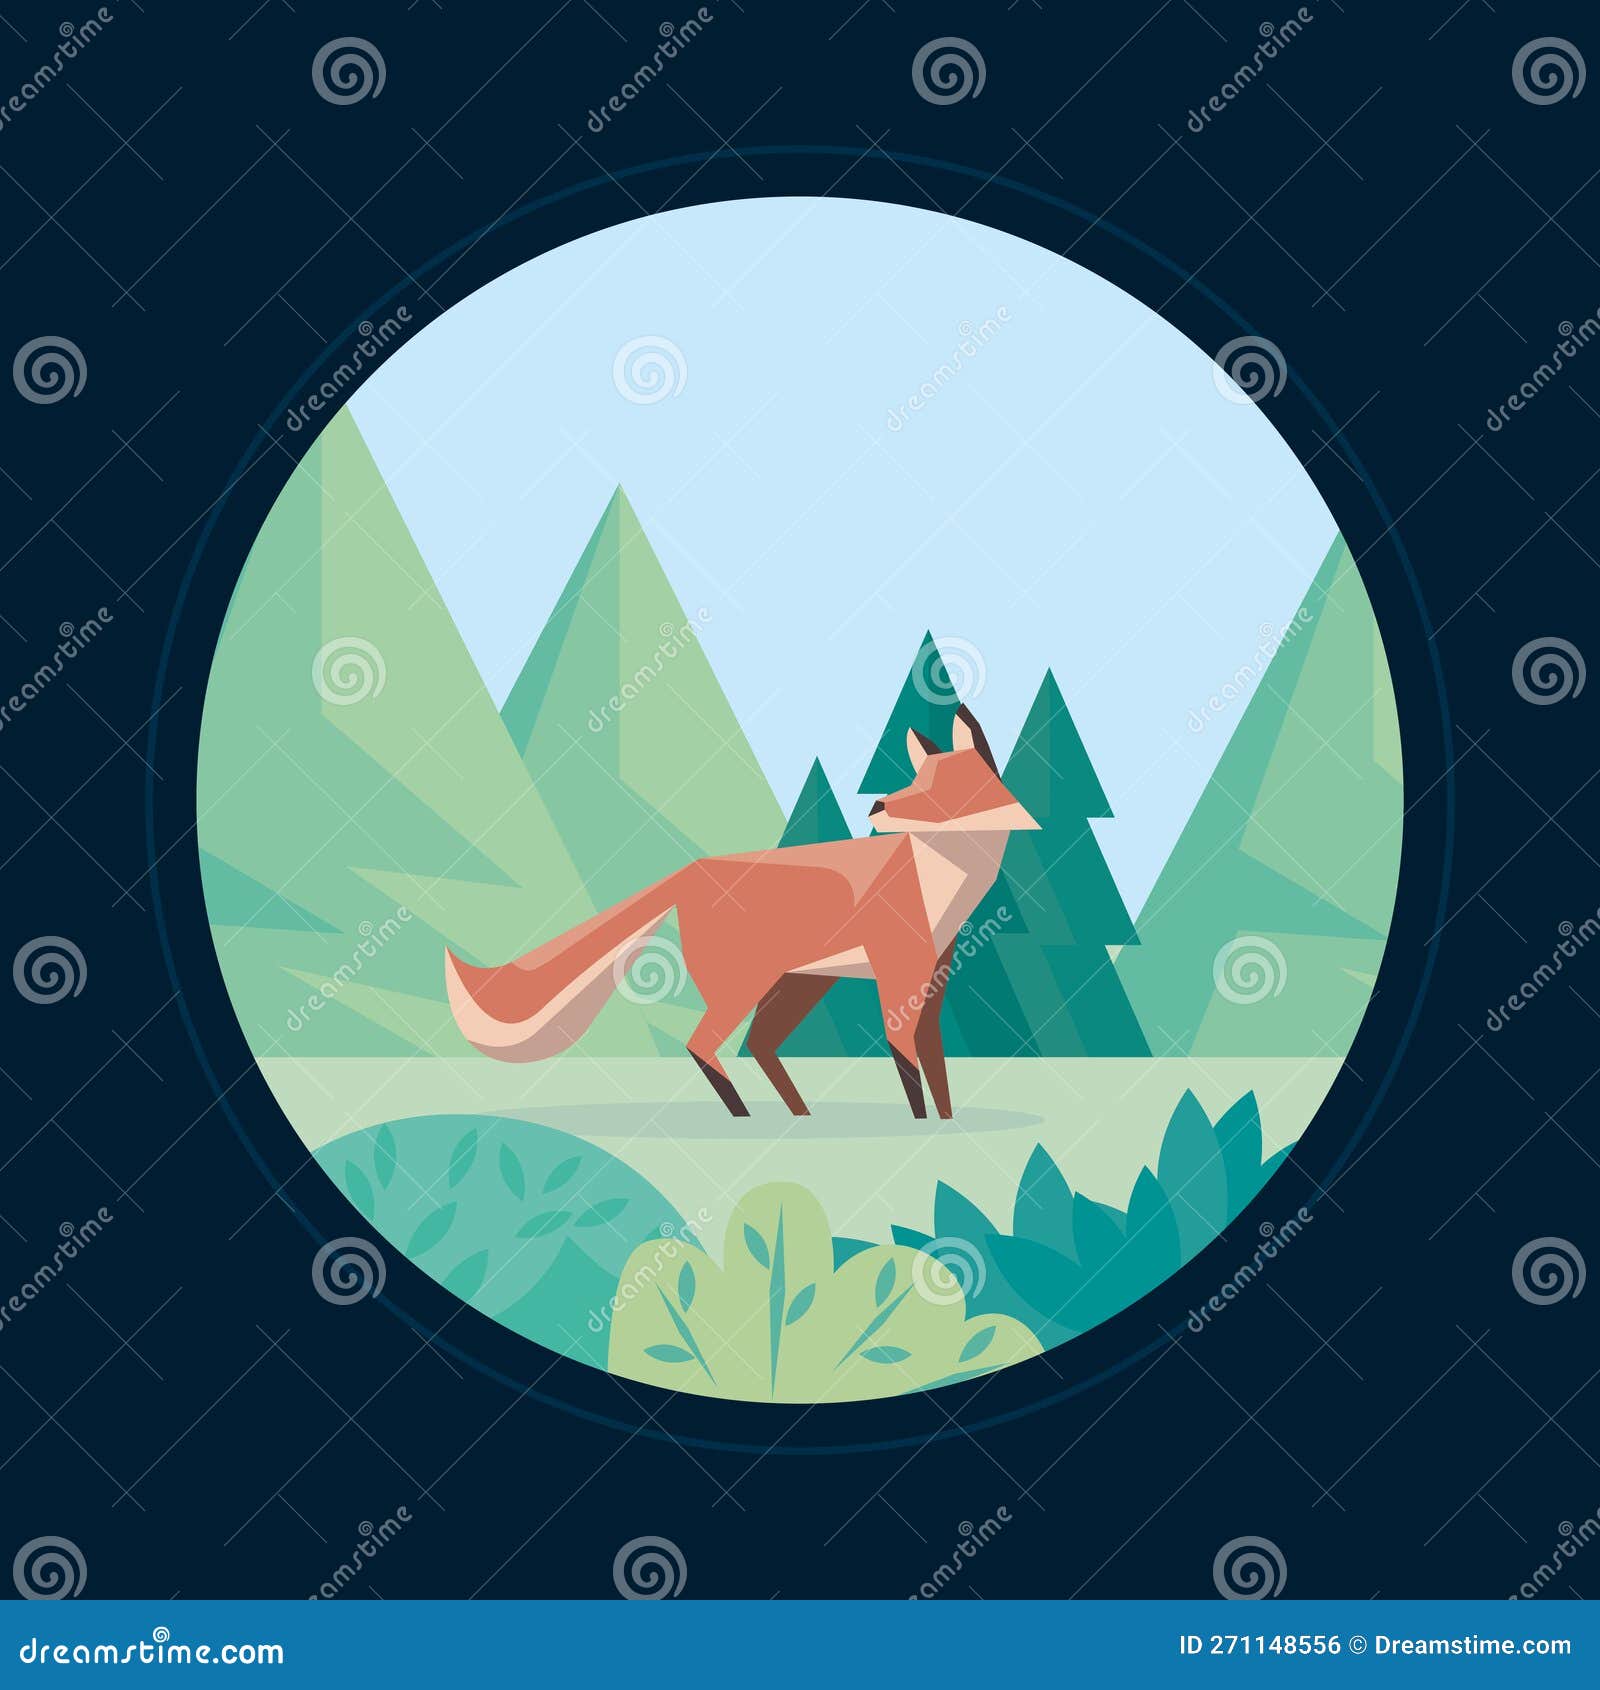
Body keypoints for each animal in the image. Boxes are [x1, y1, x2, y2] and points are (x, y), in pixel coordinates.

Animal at [444, 703, 1038, 1120]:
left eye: (938, 787)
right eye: (913, 781)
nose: (877, 805)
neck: (942, 885)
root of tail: (691, 868)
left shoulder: (934, 977)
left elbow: (935, 1064)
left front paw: (946, 1124)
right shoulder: (897, 977)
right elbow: (904, 1058)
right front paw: (920, 1125)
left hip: (795, 984)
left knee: (756, 1045)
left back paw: (798, 1116)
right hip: (745, 984)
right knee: (704, 1045)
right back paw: (744, 1116)